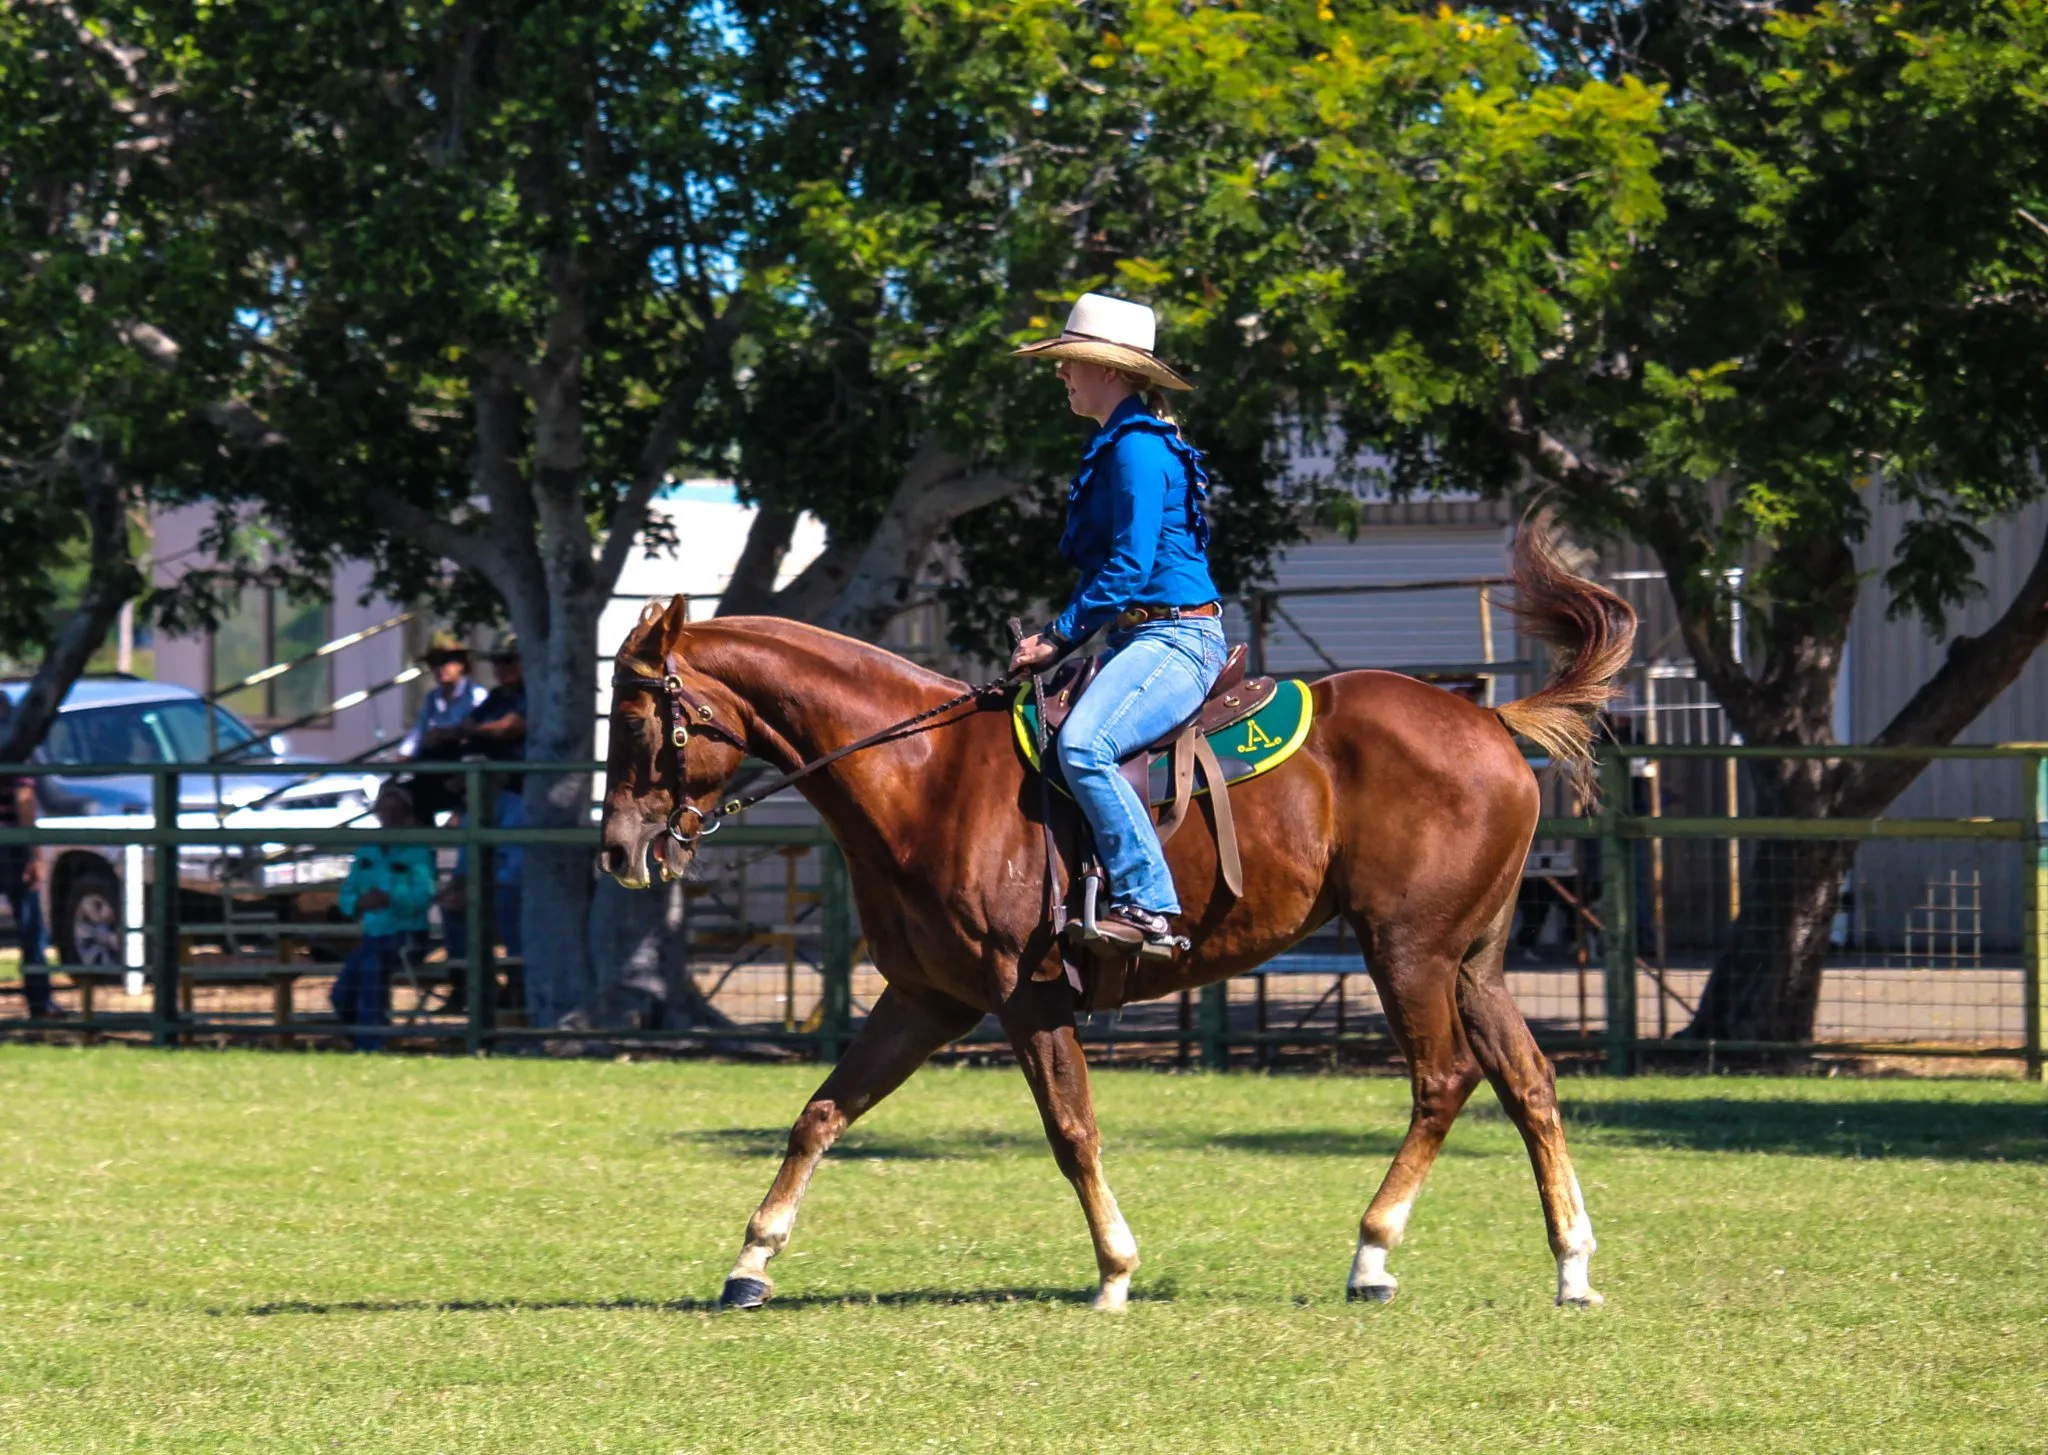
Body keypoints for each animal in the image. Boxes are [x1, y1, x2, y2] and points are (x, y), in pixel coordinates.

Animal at [599, 515, 1636, 1312]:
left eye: (642, 721)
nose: (617, 851)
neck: (924, 776)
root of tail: (1489, 721)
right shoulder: (925, 998)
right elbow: (820, 1113)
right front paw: (752, 1260)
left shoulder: (1027, 999)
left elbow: (1071, 1130)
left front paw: (1114, 1270)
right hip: (1473, 961)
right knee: (1528, 1082)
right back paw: (1573, 1268)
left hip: (1406, 950)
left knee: (1443, 1081)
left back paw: (1373, 1252)